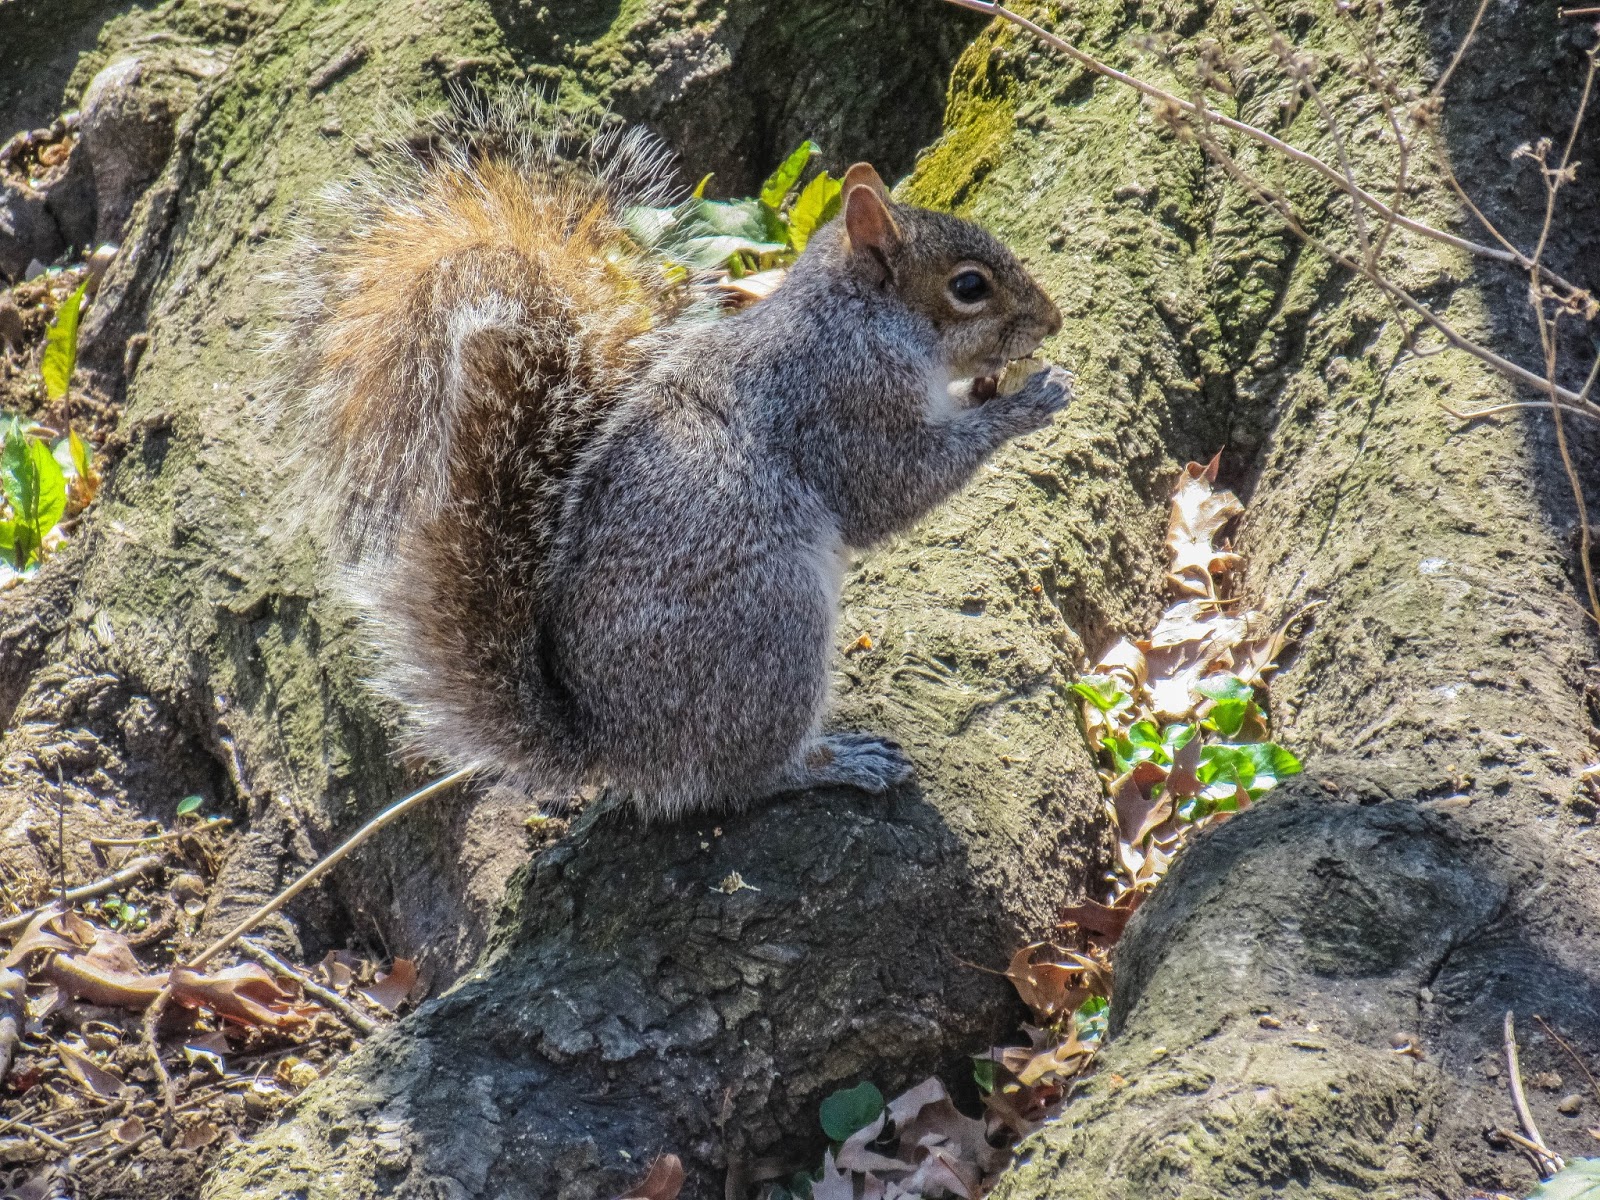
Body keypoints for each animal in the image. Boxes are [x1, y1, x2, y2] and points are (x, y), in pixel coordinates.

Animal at [281, 106, 1071, 818]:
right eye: (969, 286)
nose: (1053, 319)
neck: (860, 318)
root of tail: (618, 747)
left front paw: (993, 387)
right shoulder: (841, 405)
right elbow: (897, 487)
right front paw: (1023, 405)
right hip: (771, 626)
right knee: (738, 780)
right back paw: (836, 763)